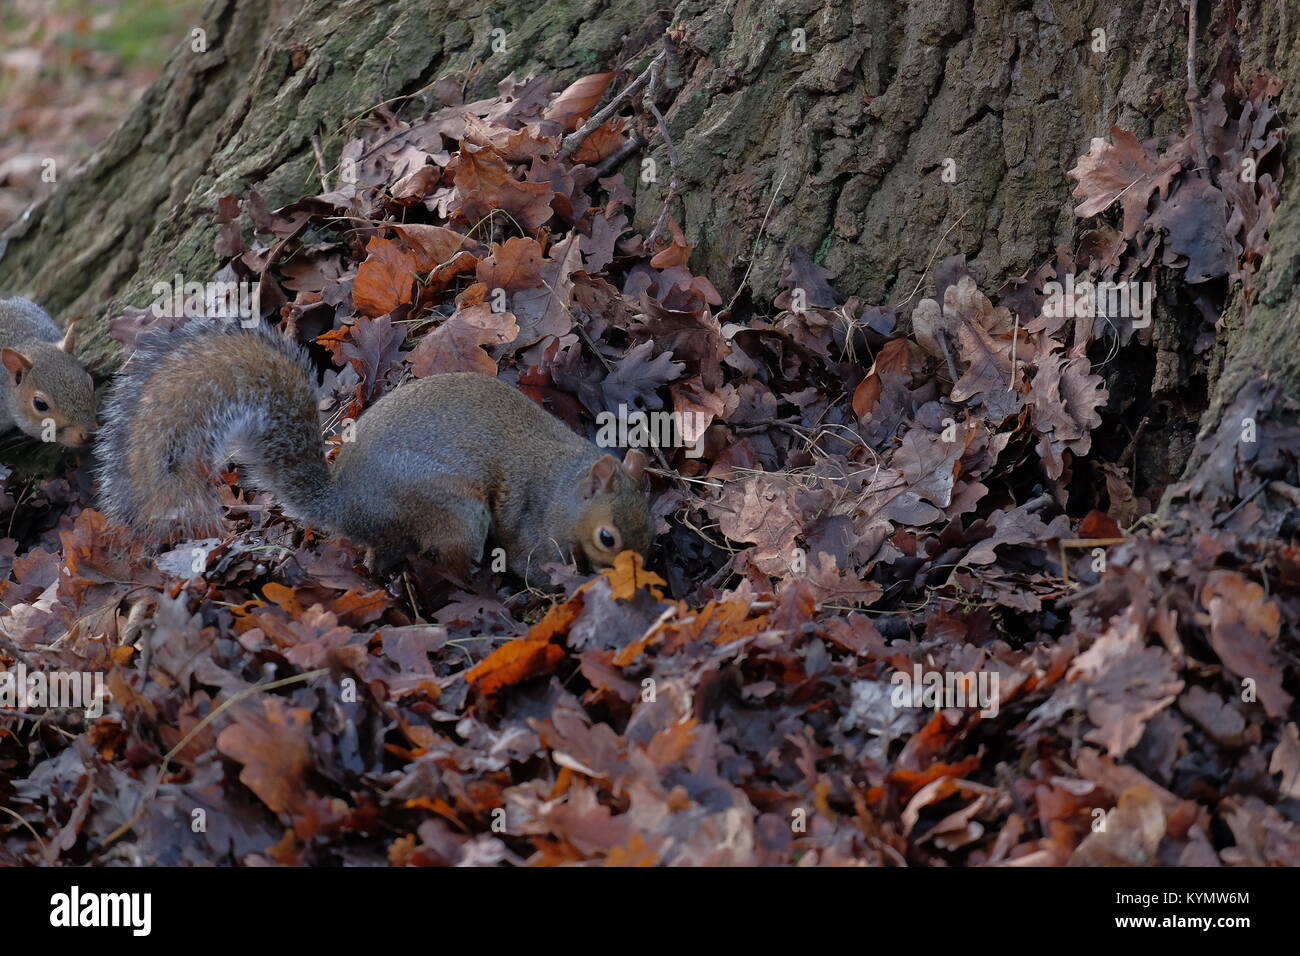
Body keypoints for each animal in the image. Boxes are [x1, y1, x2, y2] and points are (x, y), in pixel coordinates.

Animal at [94, 320, 655, 583]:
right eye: (607, 537)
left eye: (650, 528)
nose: (637, 573)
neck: (568, 485)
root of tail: (346, 505)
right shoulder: (535, 529)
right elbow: (529, 563)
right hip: (452, 511)